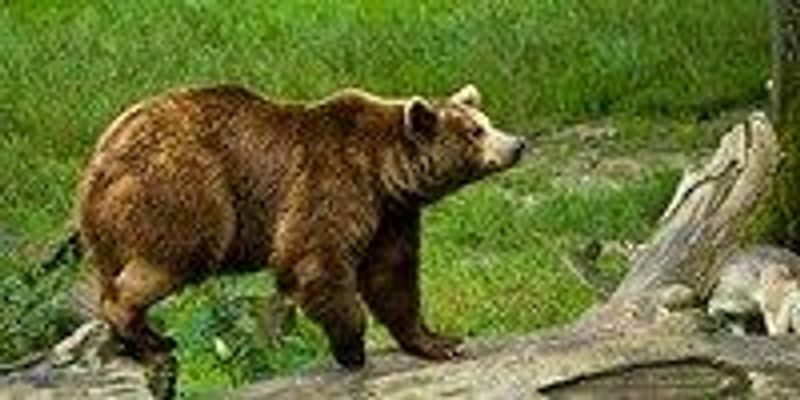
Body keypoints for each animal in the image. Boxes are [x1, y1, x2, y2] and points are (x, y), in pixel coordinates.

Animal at [77, 83, 526, 369]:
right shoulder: (332, 179)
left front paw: (440, 342)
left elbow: (391, 277)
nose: (517, 144)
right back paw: (145, 335)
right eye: (475, 131)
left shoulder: (391, 215)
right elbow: (314, 255)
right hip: (183, 188)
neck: (384, 171)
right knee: (176, 253)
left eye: (487, 120)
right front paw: (351, 347)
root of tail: (97, 164)